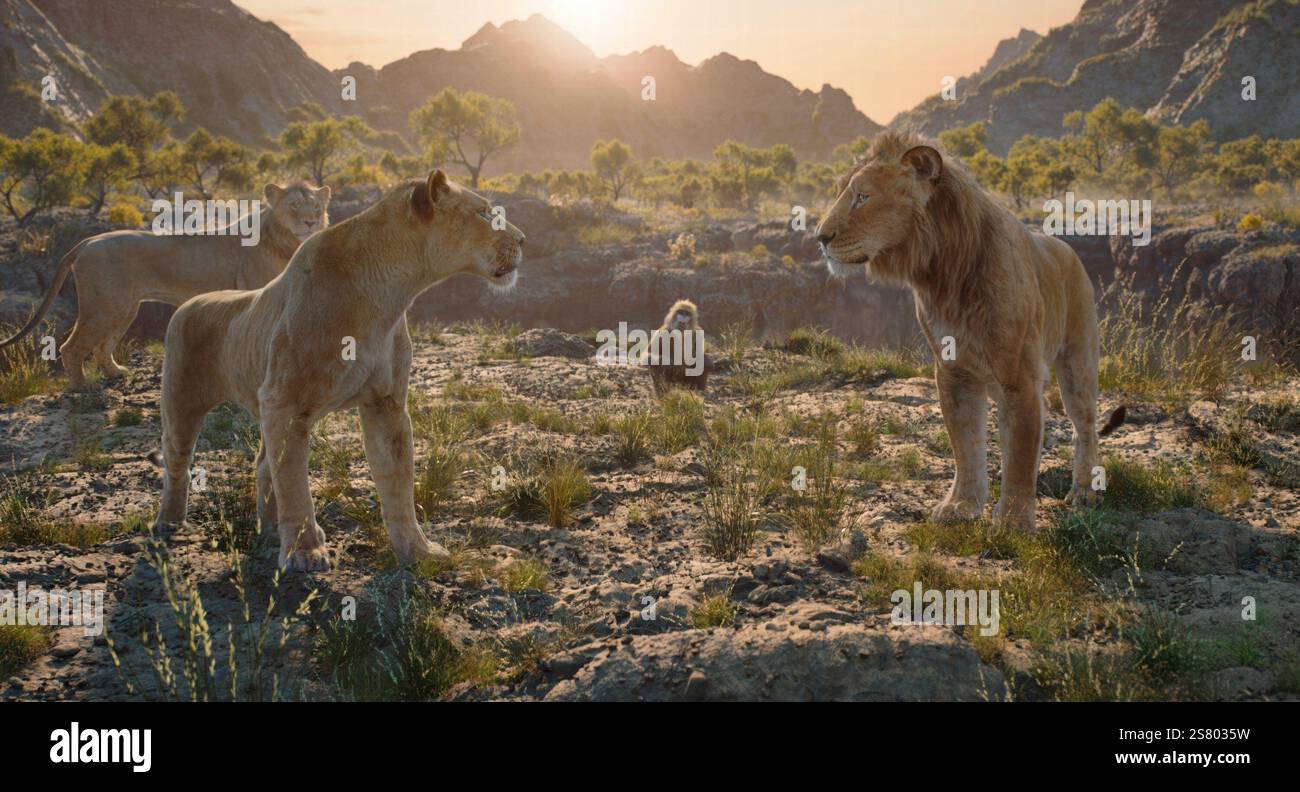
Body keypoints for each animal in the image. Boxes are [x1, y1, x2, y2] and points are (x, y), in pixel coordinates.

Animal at [0, 182, 330, 389]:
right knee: (72, 348)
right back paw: (82, 391)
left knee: (102, 347)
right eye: (295, 206)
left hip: (124, 309)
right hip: (105, 306)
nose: (311, 222)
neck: (284, 240)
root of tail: (87, 242)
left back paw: (116, 373)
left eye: (316, 207)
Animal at [155, 170, 524, 572]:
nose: (522, 239)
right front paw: (304, 553)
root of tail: (188, 304)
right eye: (484, 212)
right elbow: (295, 483)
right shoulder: (284, 400)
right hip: (183, 399)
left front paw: (417, 551)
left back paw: (270, 529)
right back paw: (168, 523)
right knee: (178, 461)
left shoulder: (386, 403)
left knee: (264, 464)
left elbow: (397, 481)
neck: (388, 295)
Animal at [815, 132, 1123, 532]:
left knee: (1084, 425)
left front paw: (1013, 524)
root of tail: (1066, 247)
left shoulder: (1019, 376)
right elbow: (965, 444)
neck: (942, 274)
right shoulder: (952, 371)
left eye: (862, 197)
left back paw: (1085, 491)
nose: (820, 237)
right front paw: (961, 506)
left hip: (1078, 361)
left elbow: (1020, 453)